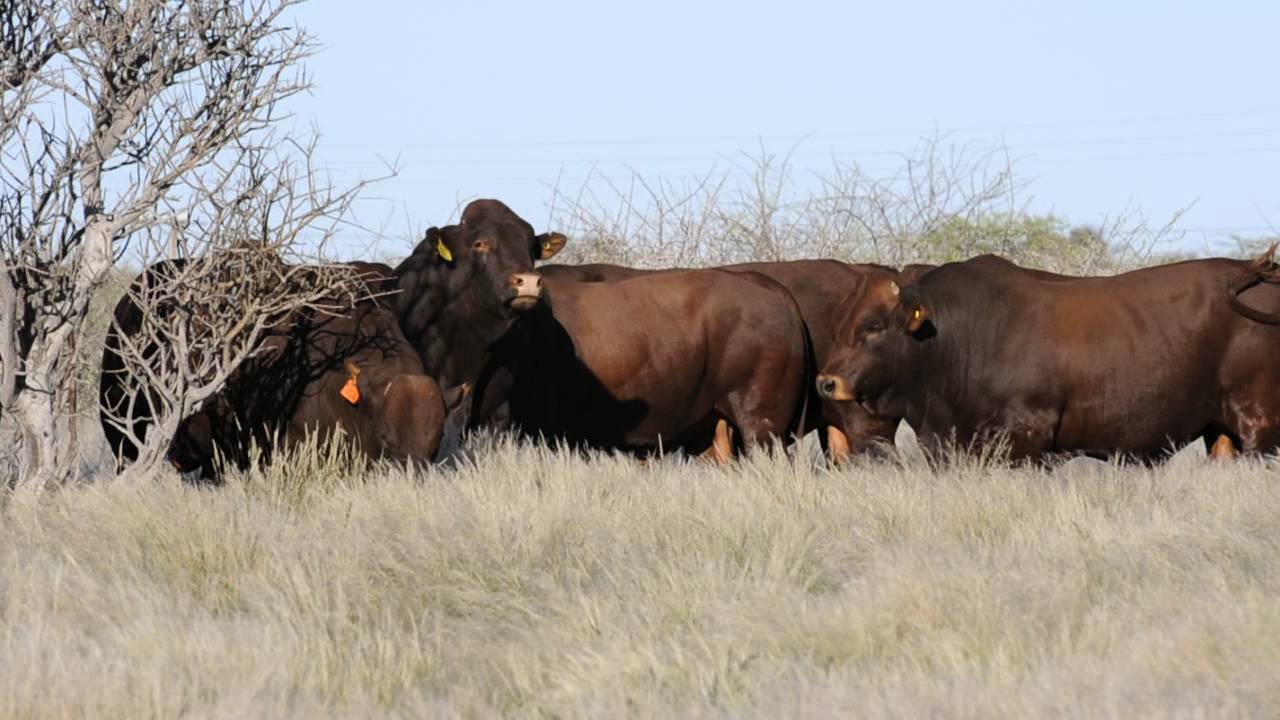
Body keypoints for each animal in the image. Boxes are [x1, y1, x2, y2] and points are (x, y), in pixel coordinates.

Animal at [815, 252, 1280, 461]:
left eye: (874, 326)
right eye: (842, 322)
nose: (826, 382)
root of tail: (1252, 271)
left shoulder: (1025, 438)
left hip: (1258, 424)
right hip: (1222, 432)